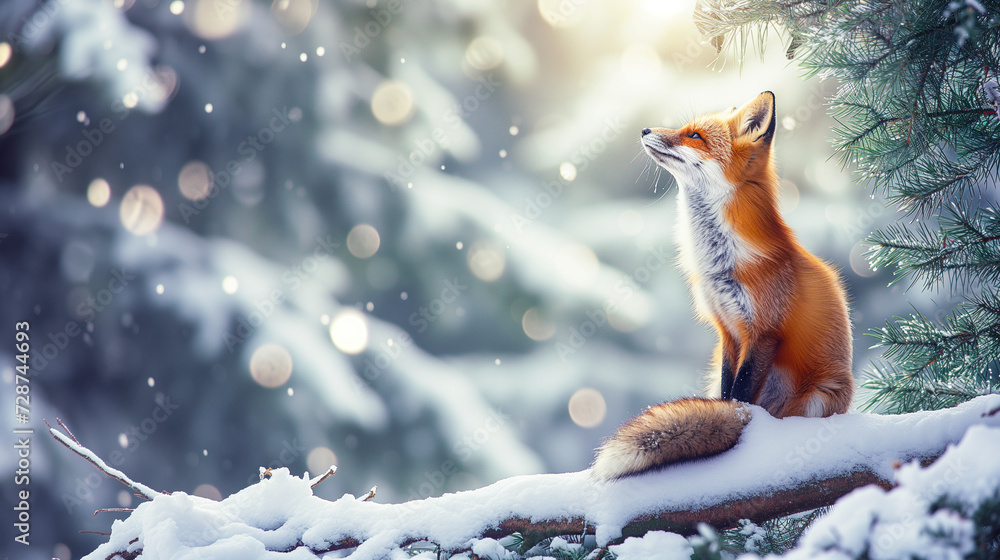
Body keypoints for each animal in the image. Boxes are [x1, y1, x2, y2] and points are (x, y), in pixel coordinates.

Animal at [591, 91, 853, 482]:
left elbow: (740, 396)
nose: (645, 129)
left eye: (694, 135)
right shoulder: (727, 329)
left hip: (820, 395)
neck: (719, 262)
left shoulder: (764, 330)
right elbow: (729, 392)